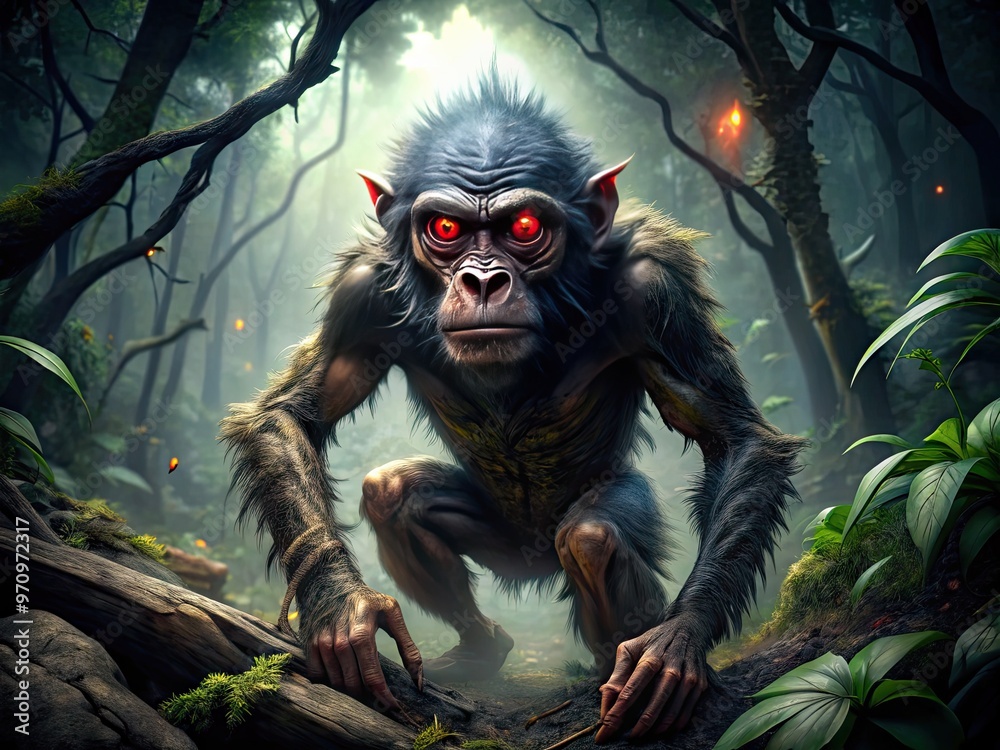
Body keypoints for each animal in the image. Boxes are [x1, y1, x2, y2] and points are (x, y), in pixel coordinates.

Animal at [220, 71, 804, 741]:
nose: (481, 280)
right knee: (393, 495)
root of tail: (532, 567)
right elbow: (293, 414)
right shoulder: (361, 295)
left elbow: (735, 440)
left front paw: (677, 644)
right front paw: (345, 609)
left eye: (524, 227)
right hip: (499, 539)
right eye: (445, 230)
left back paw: (618, 658)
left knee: (591, 536)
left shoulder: (656, 287)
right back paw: (481, 646)